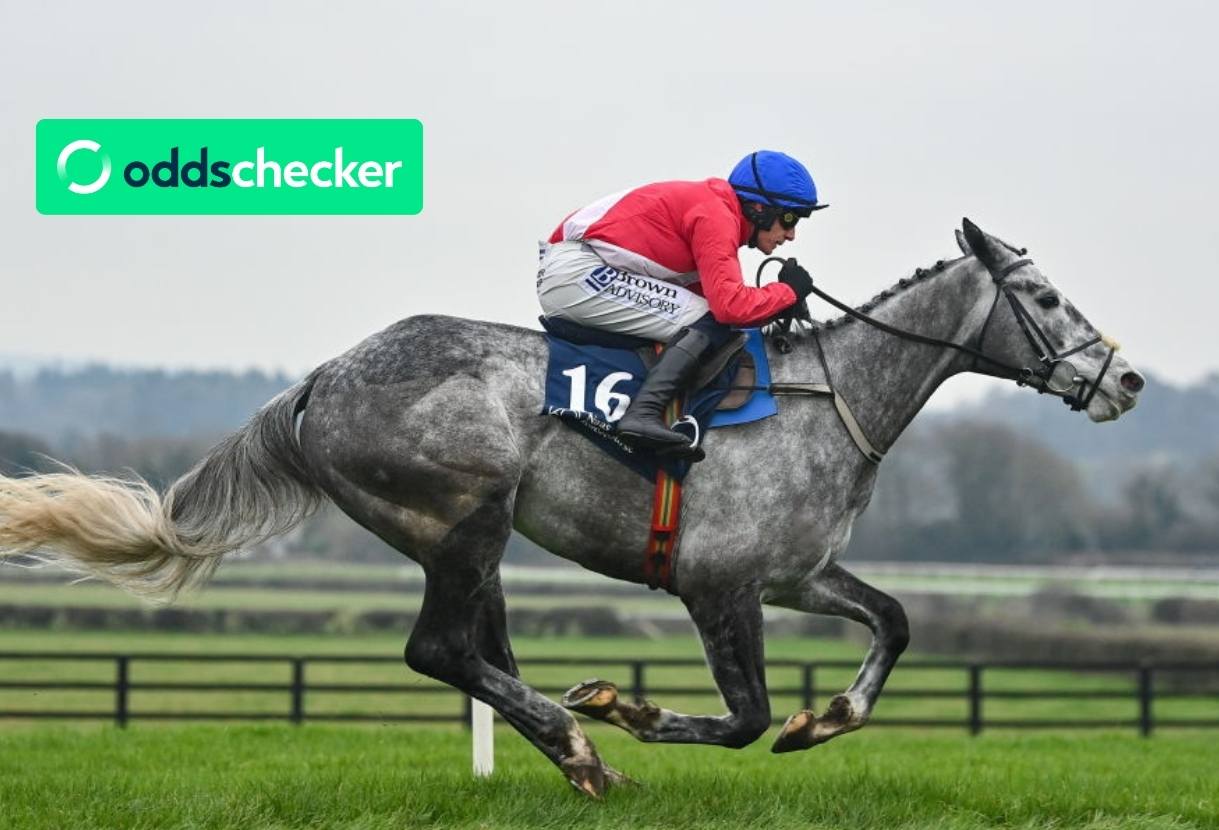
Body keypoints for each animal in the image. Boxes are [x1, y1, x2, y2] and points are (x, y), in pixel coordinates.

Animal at [0, 219, 1144, 797]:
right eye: (1044, 300)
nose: (1124, 382)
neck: (832, 394)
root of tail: (324, 377)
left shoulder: (796, 574)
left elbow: (892, 624)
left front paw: (823, 719)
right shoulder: (718, 584)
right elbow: (740, 716)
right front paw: (628, 708)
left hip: (473, 539)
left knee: (478, 653)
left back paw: (567, 749)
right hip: (466, 519)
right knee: (439, 651)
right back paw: (582, 742)